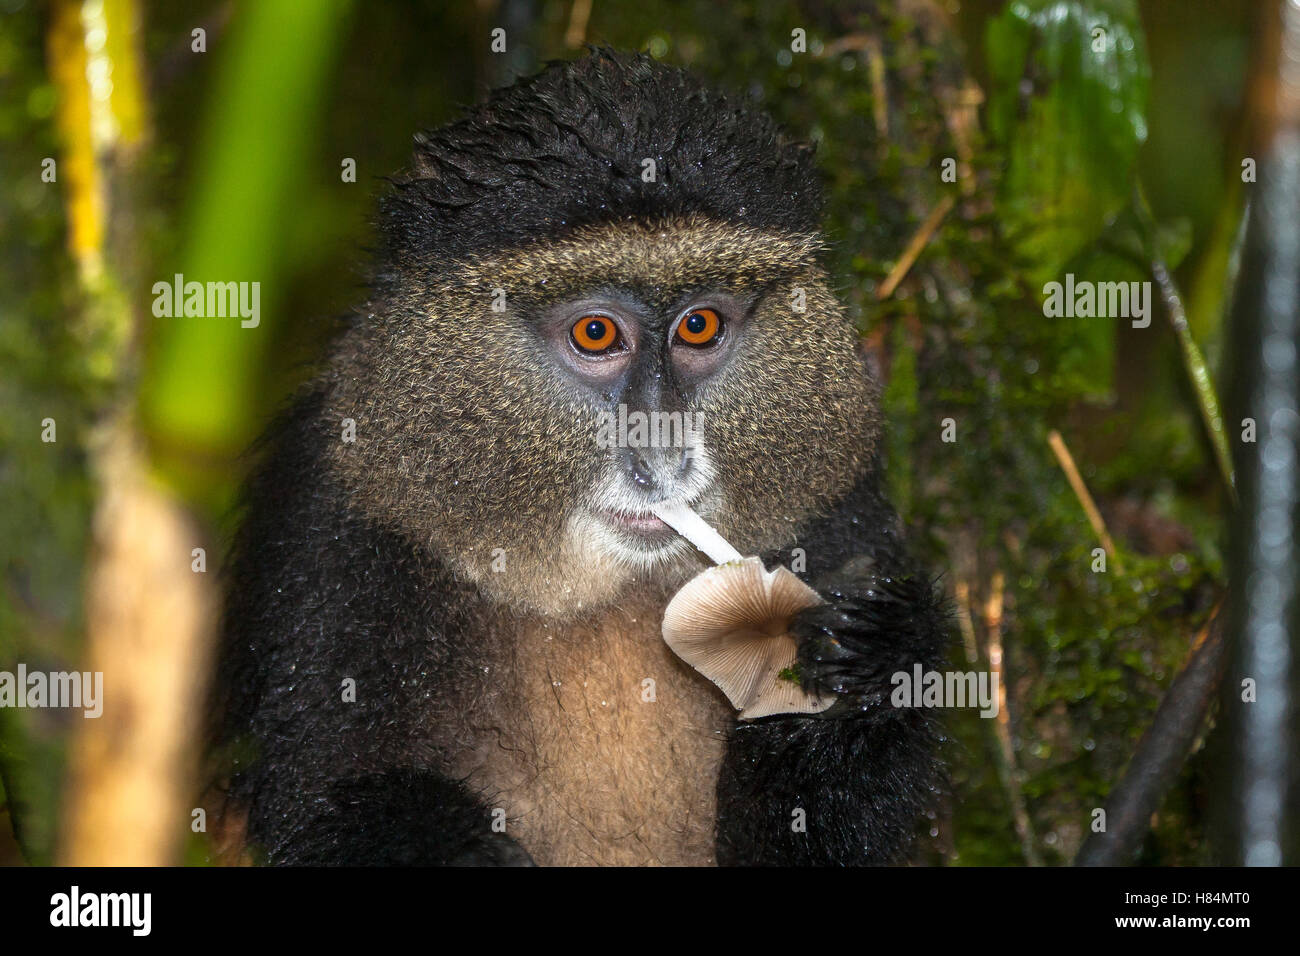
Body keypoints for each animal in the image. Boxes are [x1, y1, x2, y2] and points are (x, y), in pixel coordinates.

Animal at [212, 49, 950, 866]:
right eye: (596, 333)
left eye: (699, 325)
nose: (663, 451)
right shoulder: (321, 540)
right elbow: (331, 811)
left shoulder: (842, 510)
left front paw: (875, 656)